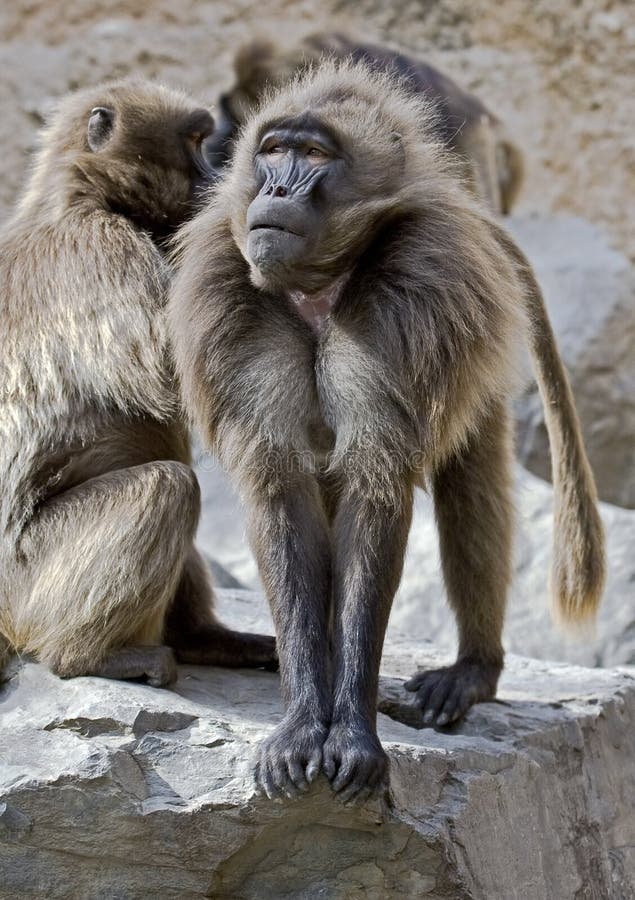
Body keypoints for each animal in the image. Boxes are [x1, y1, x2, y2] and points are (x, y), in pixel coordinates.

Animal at [0, 79, 277, 687]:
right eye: (197, 142)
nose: (214, 180)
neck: (78, 196)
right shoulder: (100, 249)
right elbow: (167, 376)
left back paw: (204, 640)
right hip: (26, 585)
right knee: (167, 488)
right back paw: (88, 656)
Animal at [168, 62, 605, 804]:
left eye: (315, 155)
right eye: (272, 149)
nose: (275, 189)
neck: (319, 286)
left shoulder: (416, 297)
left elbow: (376, 496)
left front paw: (349, 735)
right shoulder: (228, 302)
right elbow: (281, 494)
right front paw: (300, 724)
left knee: (470, 488)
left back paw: (472, 673)